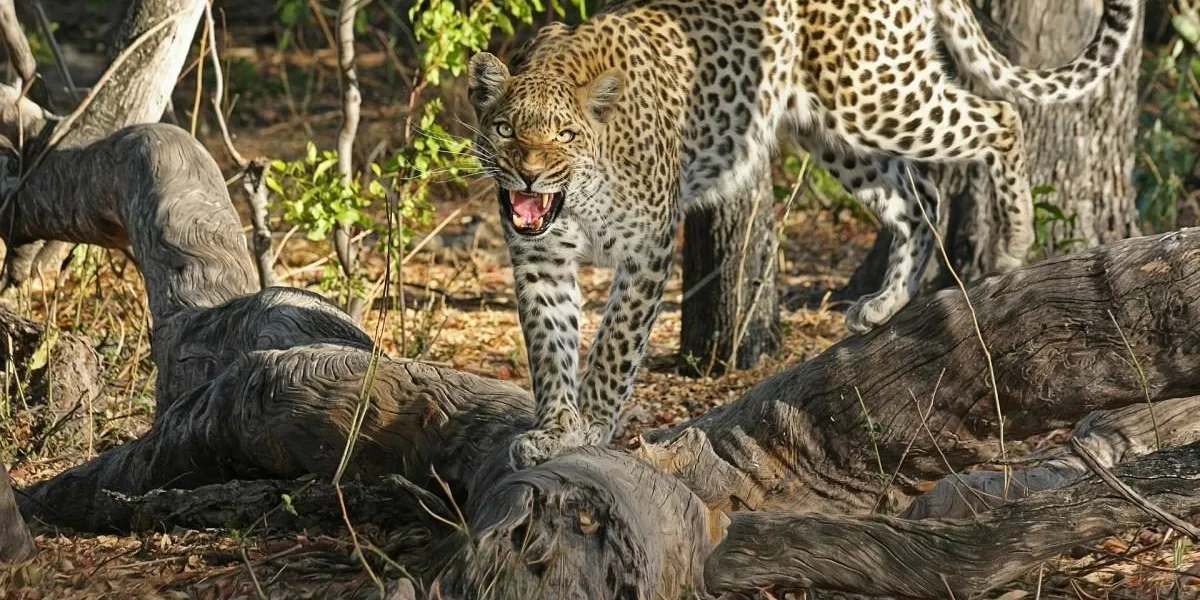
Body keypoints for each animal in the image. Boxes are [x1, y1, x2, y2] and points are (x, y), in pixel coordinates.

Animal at [466, 0, 1140, 469]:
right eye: (504, 129)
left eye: (565, 135)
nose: (529, 173)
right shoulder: (539, 260)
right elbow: (549, 349)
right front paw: (555, 430)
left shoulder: (648, 248)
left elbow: (611, 351)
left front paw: (590, 427)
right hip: (833, 129)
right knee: (919, 196)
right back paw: (884, 304)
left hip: (875, 94)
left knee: (999, 117)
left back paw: (1013, 241)